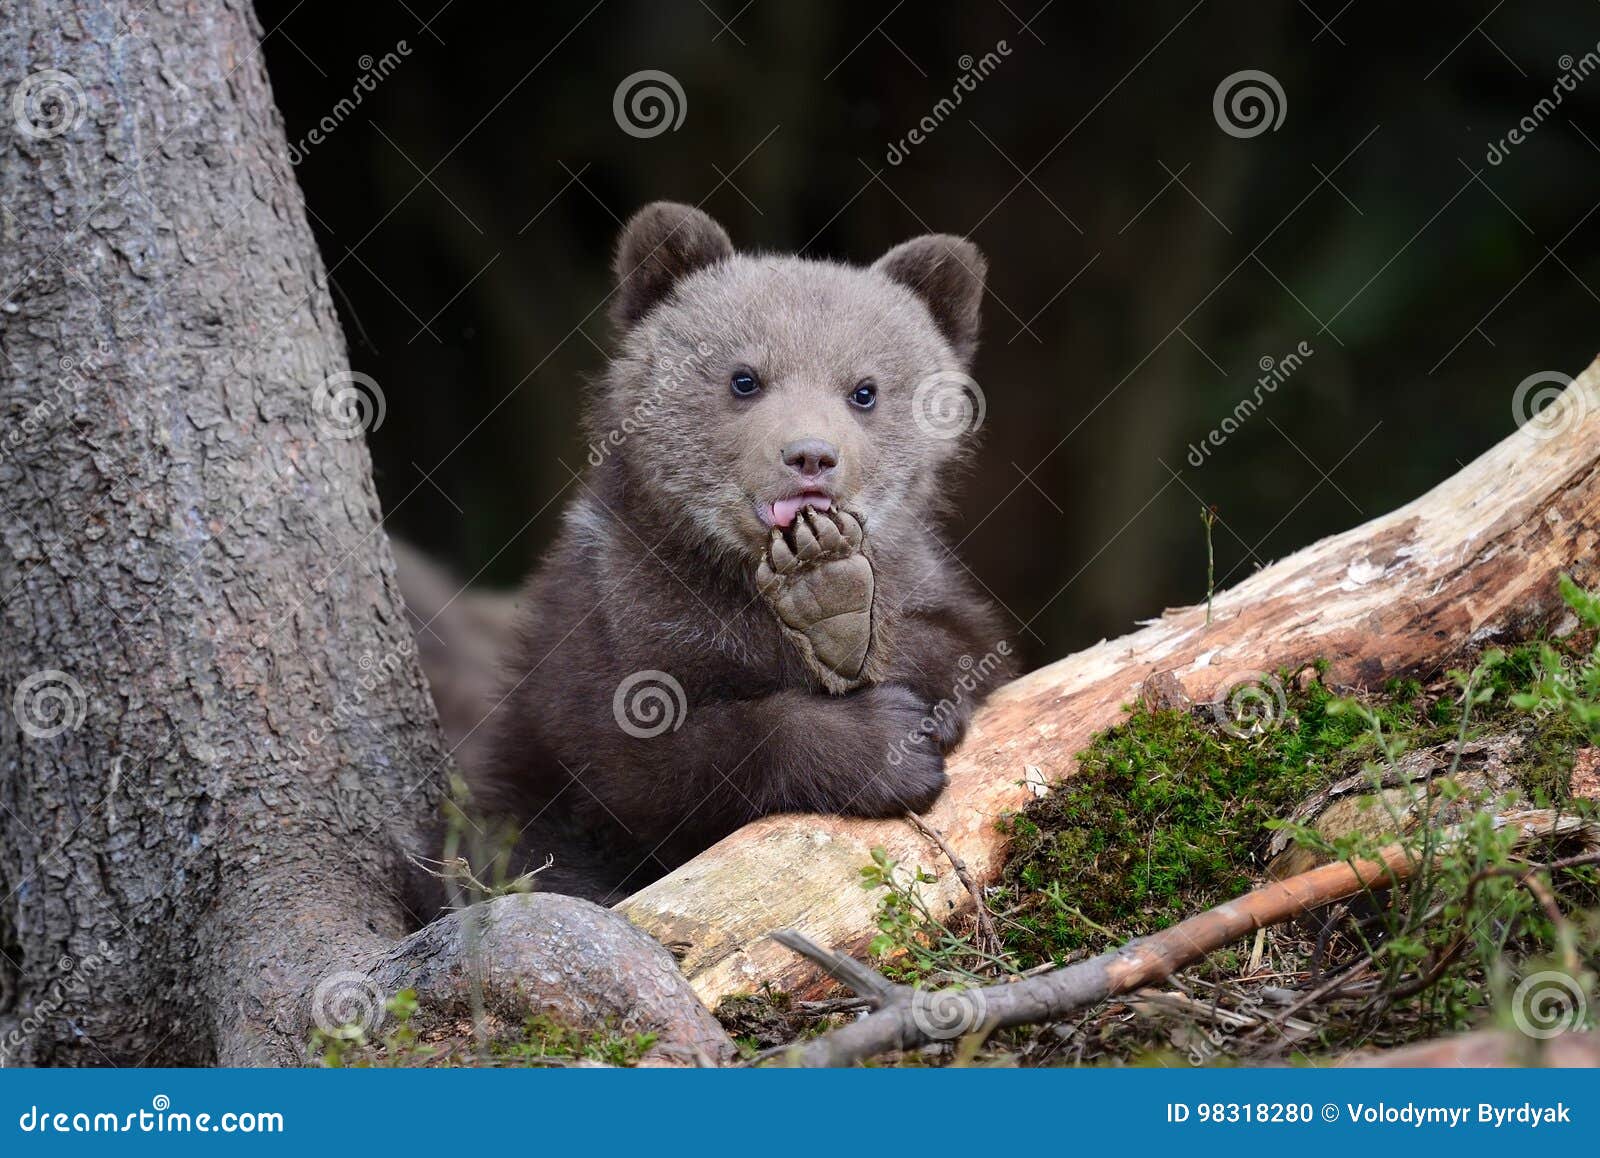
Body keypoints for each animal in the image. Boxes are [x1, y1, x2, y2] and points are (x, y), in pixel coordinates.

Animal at [461, 202, 1013, 905]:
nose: (810, 455)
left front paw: (841, 610)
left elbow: (963, 642)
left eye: (864, 390)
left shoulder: (924, 575)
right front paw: (879, 742)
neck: (741, 571)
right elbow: (650, 762)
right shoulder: (613, 628)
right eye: (744, 378)